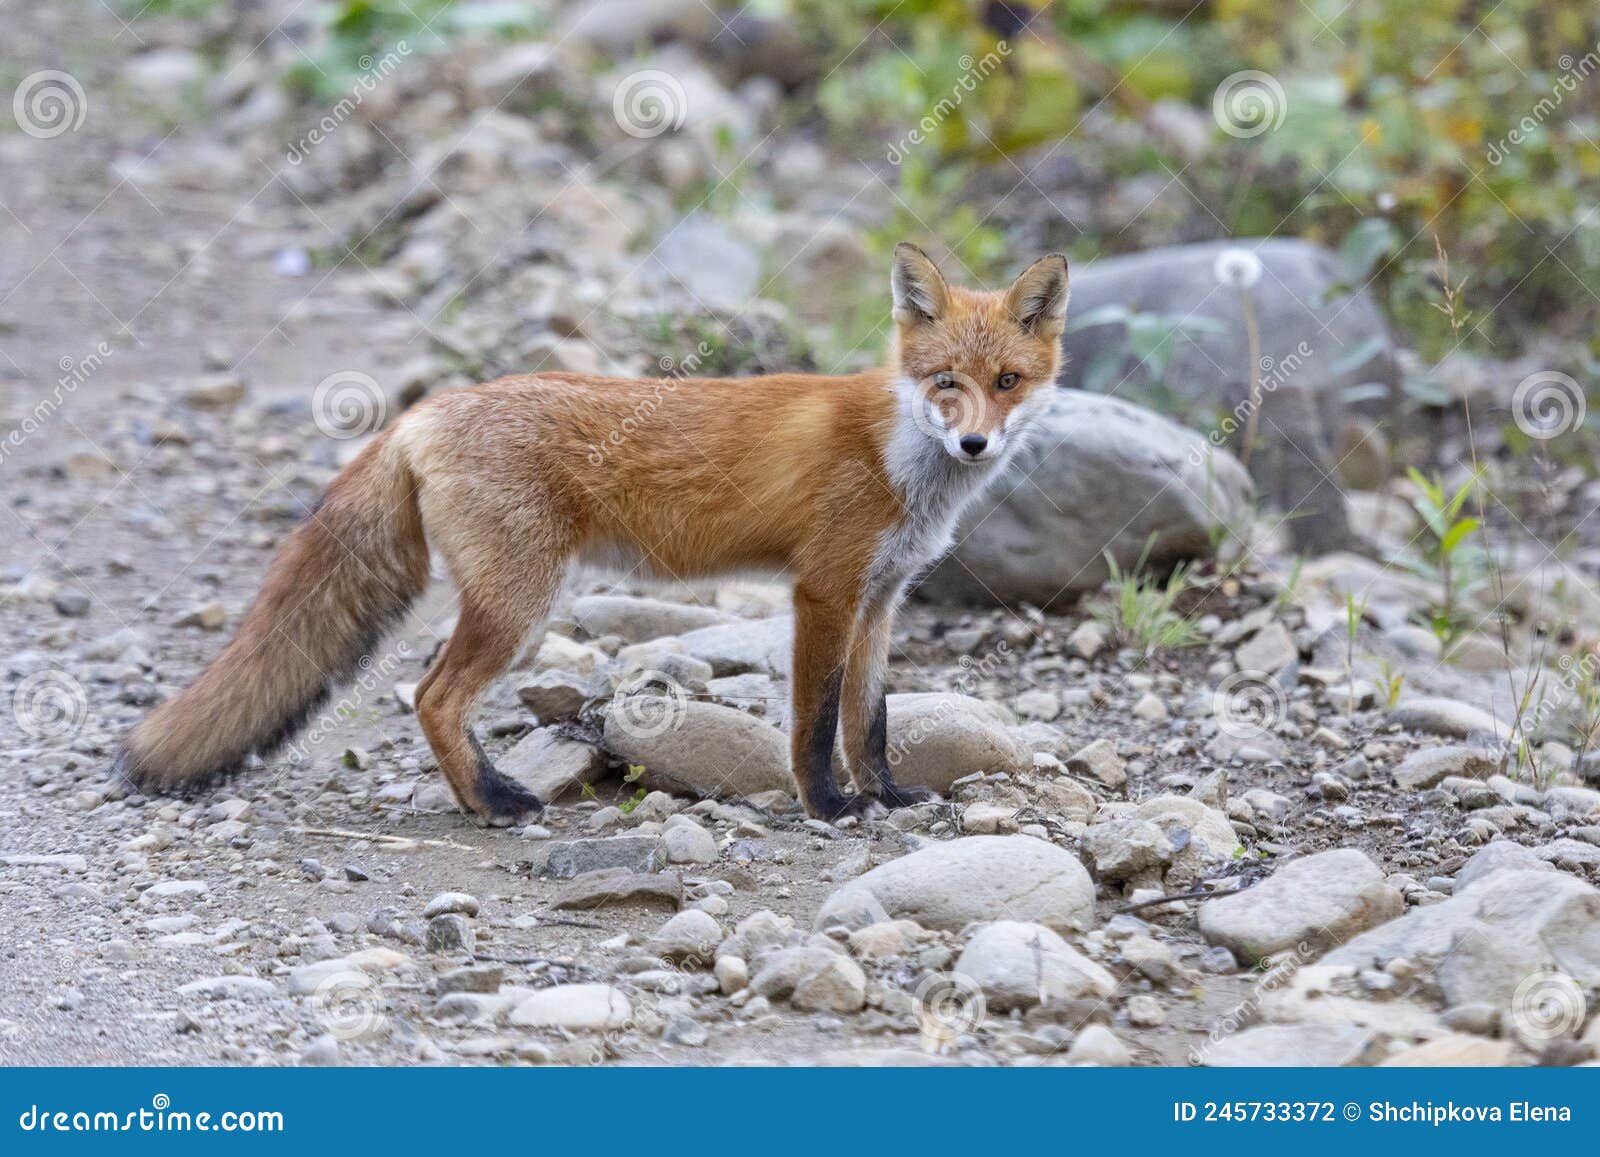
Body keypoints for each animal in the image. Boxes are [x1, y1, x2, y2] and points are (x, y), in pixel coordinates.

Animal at [111, 243, 1069, 823]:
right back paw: (493, 803)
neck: (898, 456)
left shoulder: (880, 598)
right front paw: (827, 808)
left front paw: (888, 796)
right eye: (944, 381)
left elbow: (868, 719)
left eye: (1007, 381)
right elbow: (814, 721)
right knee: (432, 695)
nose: (975, 443)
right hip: (520, 603)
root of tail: (425, 410)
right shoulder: (824, 592)